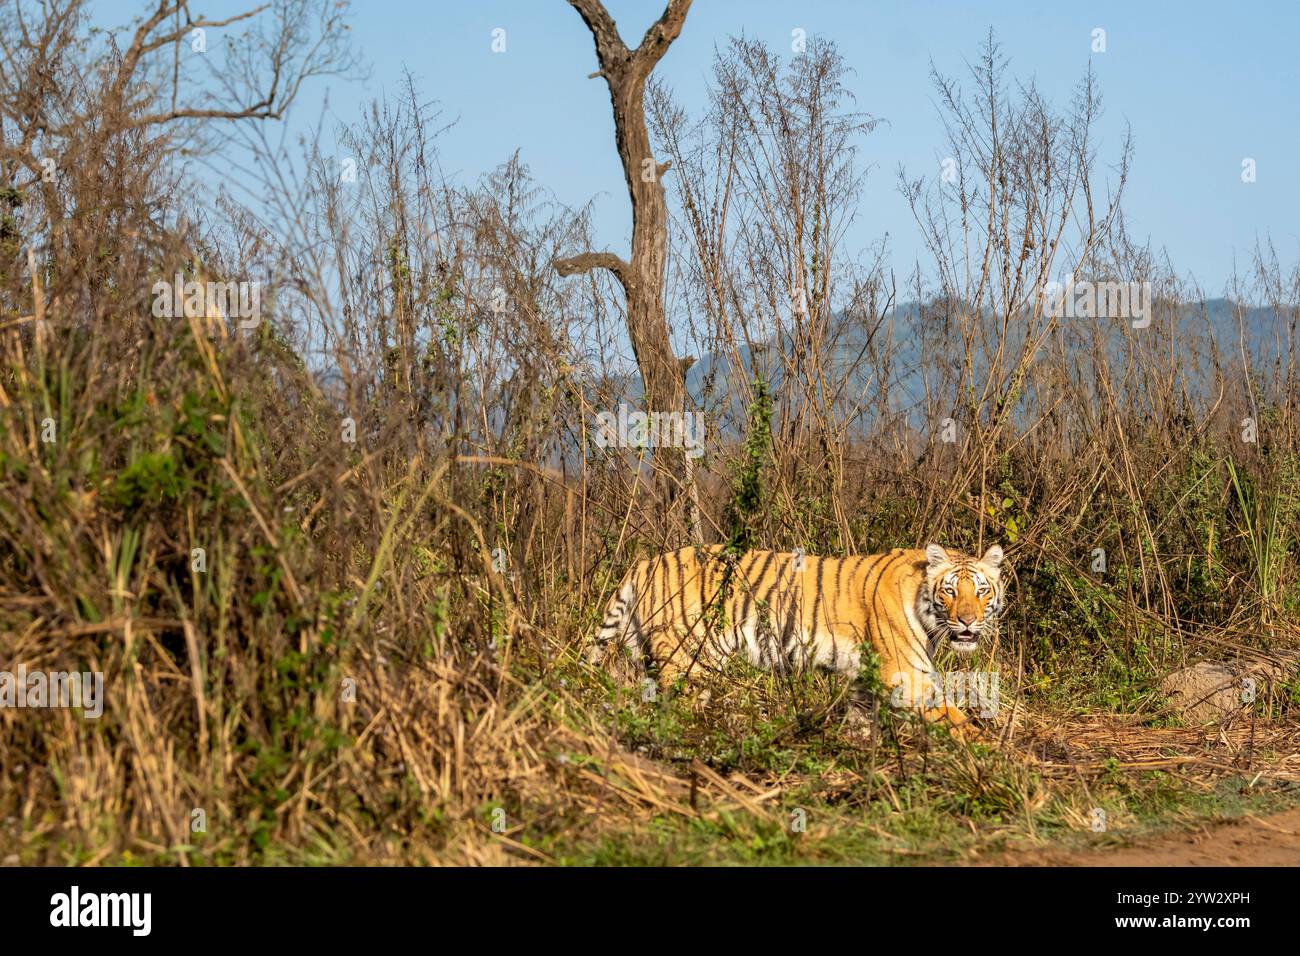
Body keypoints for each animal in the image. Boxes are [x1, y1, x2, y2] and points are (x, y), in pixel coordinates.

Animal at [589, 543, 1007, 739]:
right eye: (950, 591)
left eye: (981, 591)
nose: (968, 621)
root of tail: (645, 562)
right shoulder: (907, 678)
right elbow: (958, 721)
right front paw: (991, 756)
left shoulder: (862, 680)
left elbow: (860, 720)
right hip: (686, 660)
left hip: (645, 655)